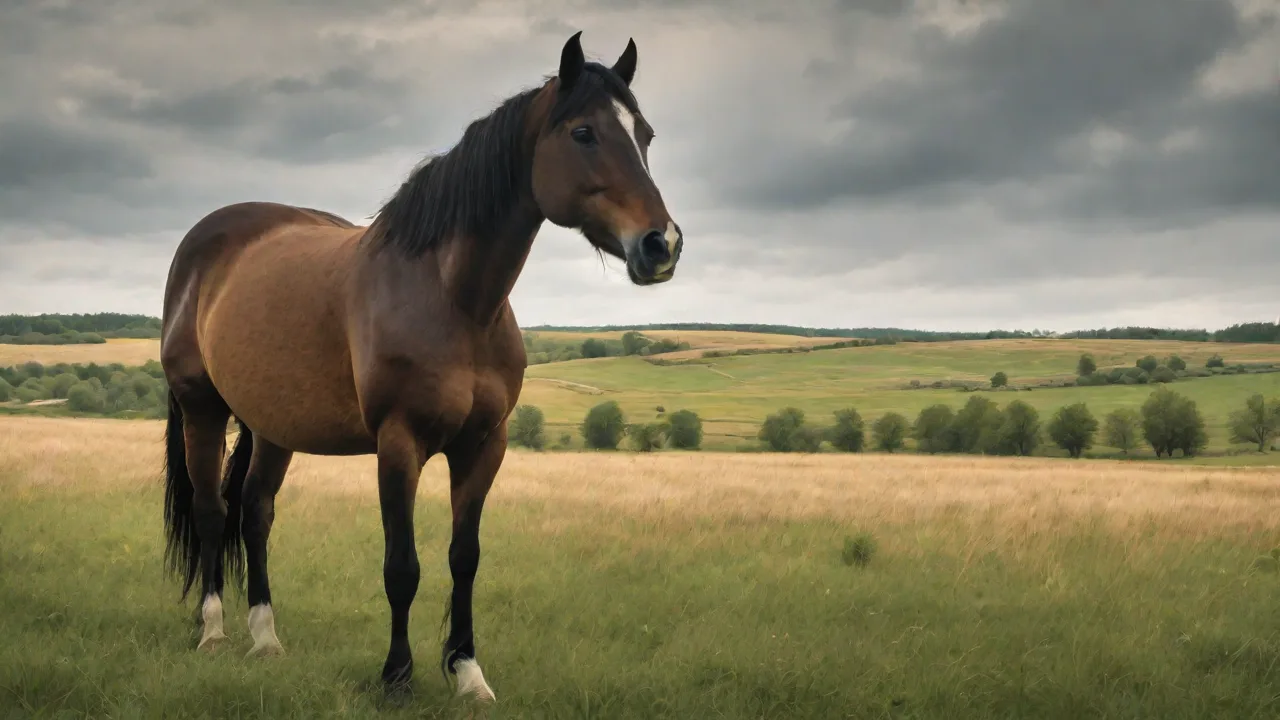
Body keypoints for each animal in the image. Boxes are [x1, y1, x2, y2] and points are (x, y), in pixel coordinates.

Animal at [158, 31, 683, 703]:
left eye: (644, 134)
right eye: (584, 133)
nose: (662, 244)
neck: (453, 299)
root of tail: (205, 242)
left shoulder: (484, 445)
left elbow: (465, 557)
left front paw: (467, 672)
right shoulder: (398, 444)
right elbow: (401, 566)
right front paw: (397, 676)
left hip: (273, 425)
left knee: (254, 513)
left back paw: (266, 638)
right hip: (201, 407)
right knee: (210, 510)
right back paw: (214, 631)